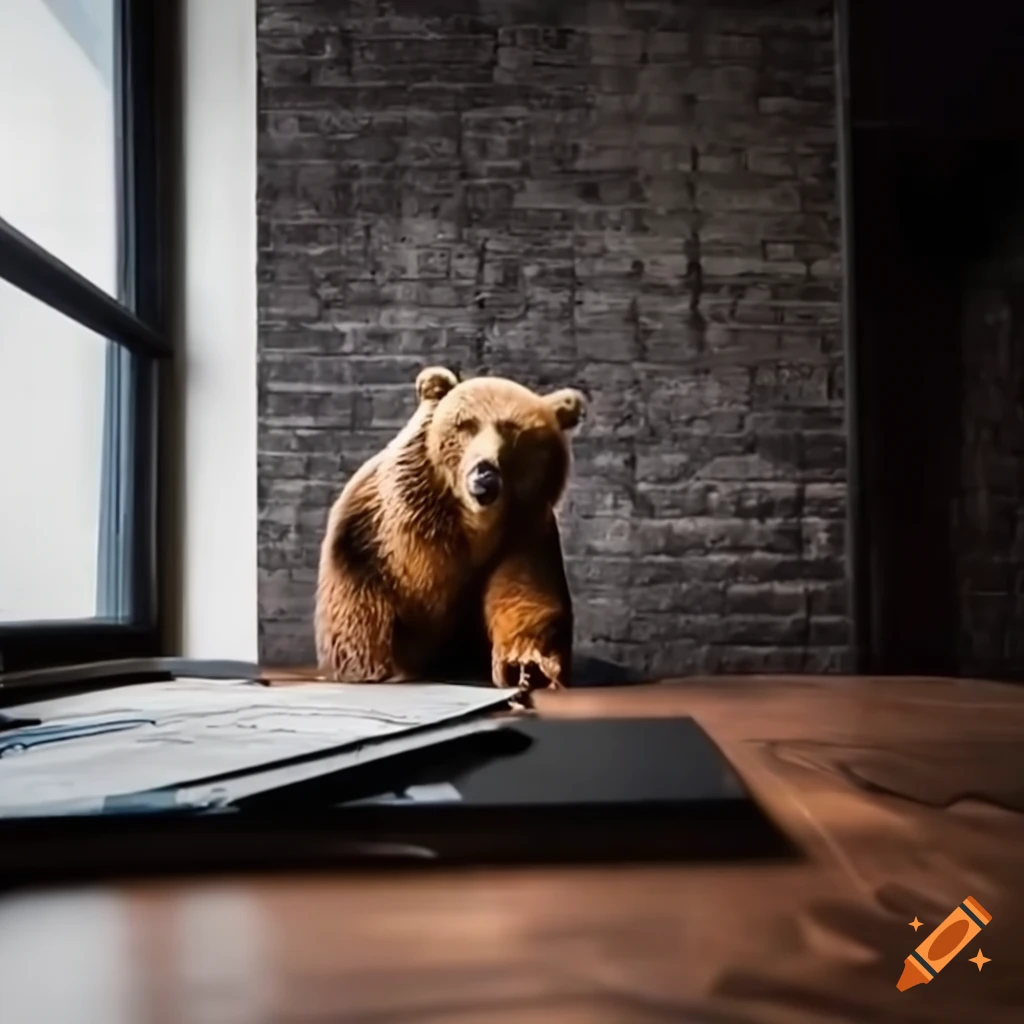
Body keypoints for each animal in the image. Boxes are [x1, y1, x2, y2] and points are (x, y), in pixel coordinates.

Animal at [314, 366, 586, 690]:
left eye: (513, 431)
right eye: (467, 425)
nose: (485, 471)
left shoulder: (525, 531)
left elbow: (524, 594)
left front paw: (527, 665)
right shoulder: (369, 545)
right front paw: (375, 670)